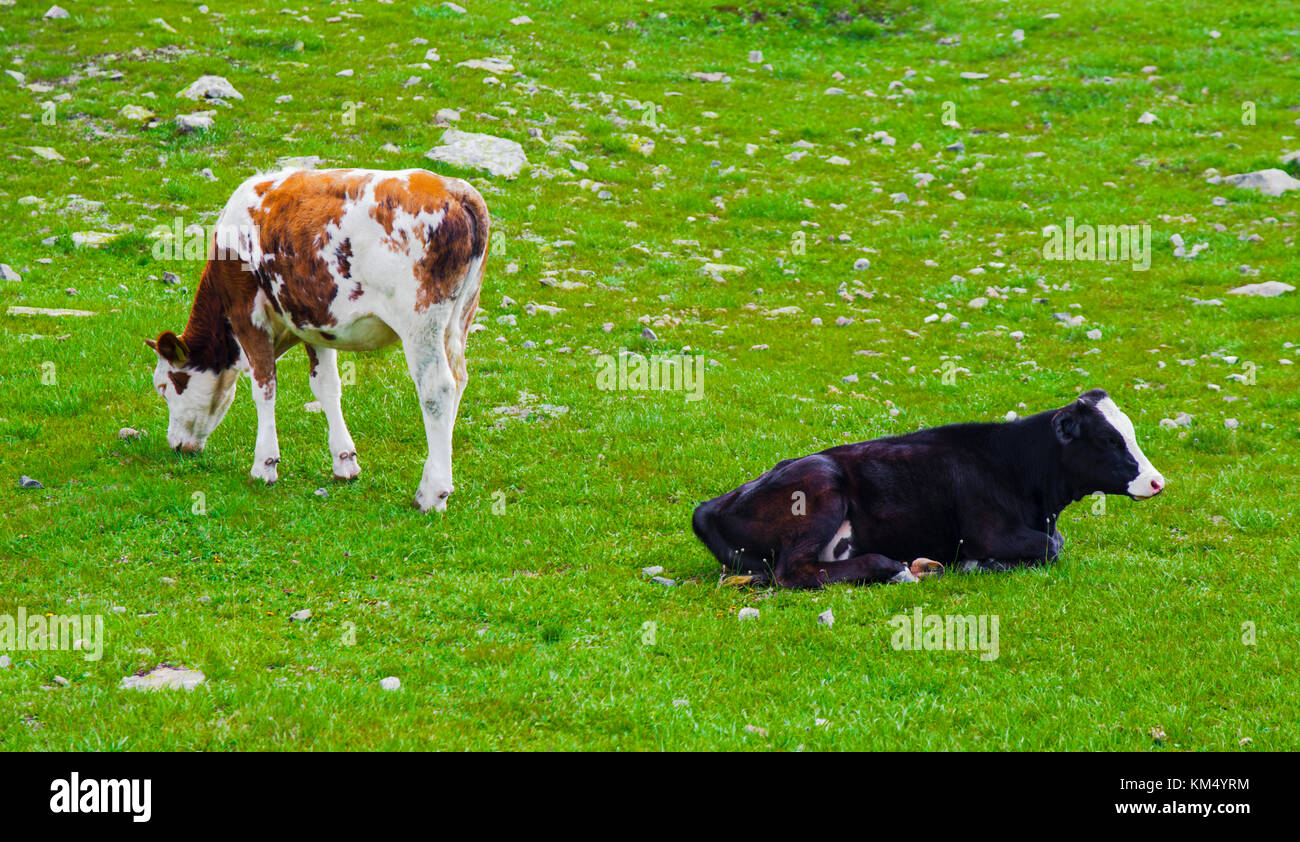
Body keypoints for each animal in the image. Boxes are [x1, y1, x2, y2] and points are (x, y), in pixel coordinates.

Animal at [145, 167, 489, 512]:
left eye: (165, 386)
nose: (175, 444)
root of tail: (453, 189)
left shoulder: (247, 313)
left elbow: (264, 387)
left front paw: (264, 465)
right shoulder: (312, 320)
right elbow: (326, 386)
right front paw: (344, 461)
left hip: (420, 322)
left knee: (437, 390)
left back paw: (433, 492)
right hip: (458, 319)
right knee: (458, 381)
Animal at [691, 389, 1165, 589]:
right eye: (1109, 439)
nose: (1157, 481)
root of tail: (711, 507)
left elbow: (1056, 543)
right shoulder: (989, 531)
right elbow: (1051, 548)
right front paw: (977, 565)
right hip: (821, 487)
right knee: (793, 572)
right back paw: (893, 567)